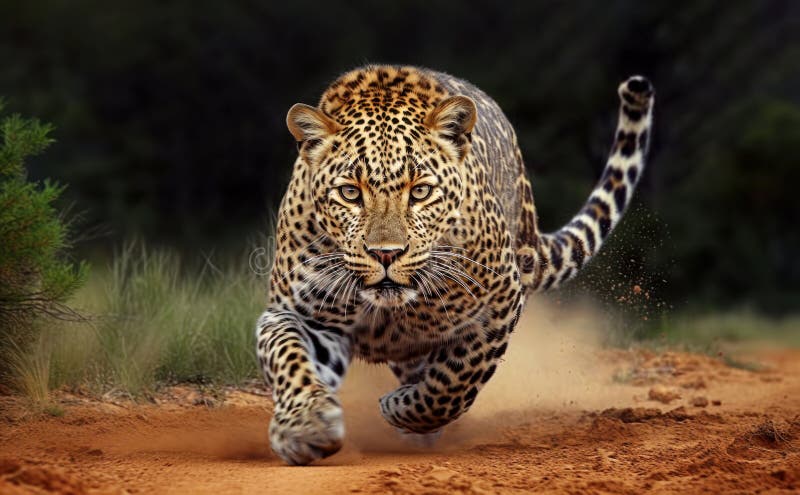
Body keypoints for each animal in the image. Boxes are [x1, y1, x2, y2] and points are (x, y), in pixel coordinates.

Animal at [255, 65, 654, 465]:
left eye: (420, 191)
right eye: (350, 193)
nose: (386, 253)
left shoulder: (498, 306)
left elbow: (454, 382)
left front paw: (398, 409)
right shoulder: (301, 314)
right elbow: (287, 355)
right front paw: (304, 427)